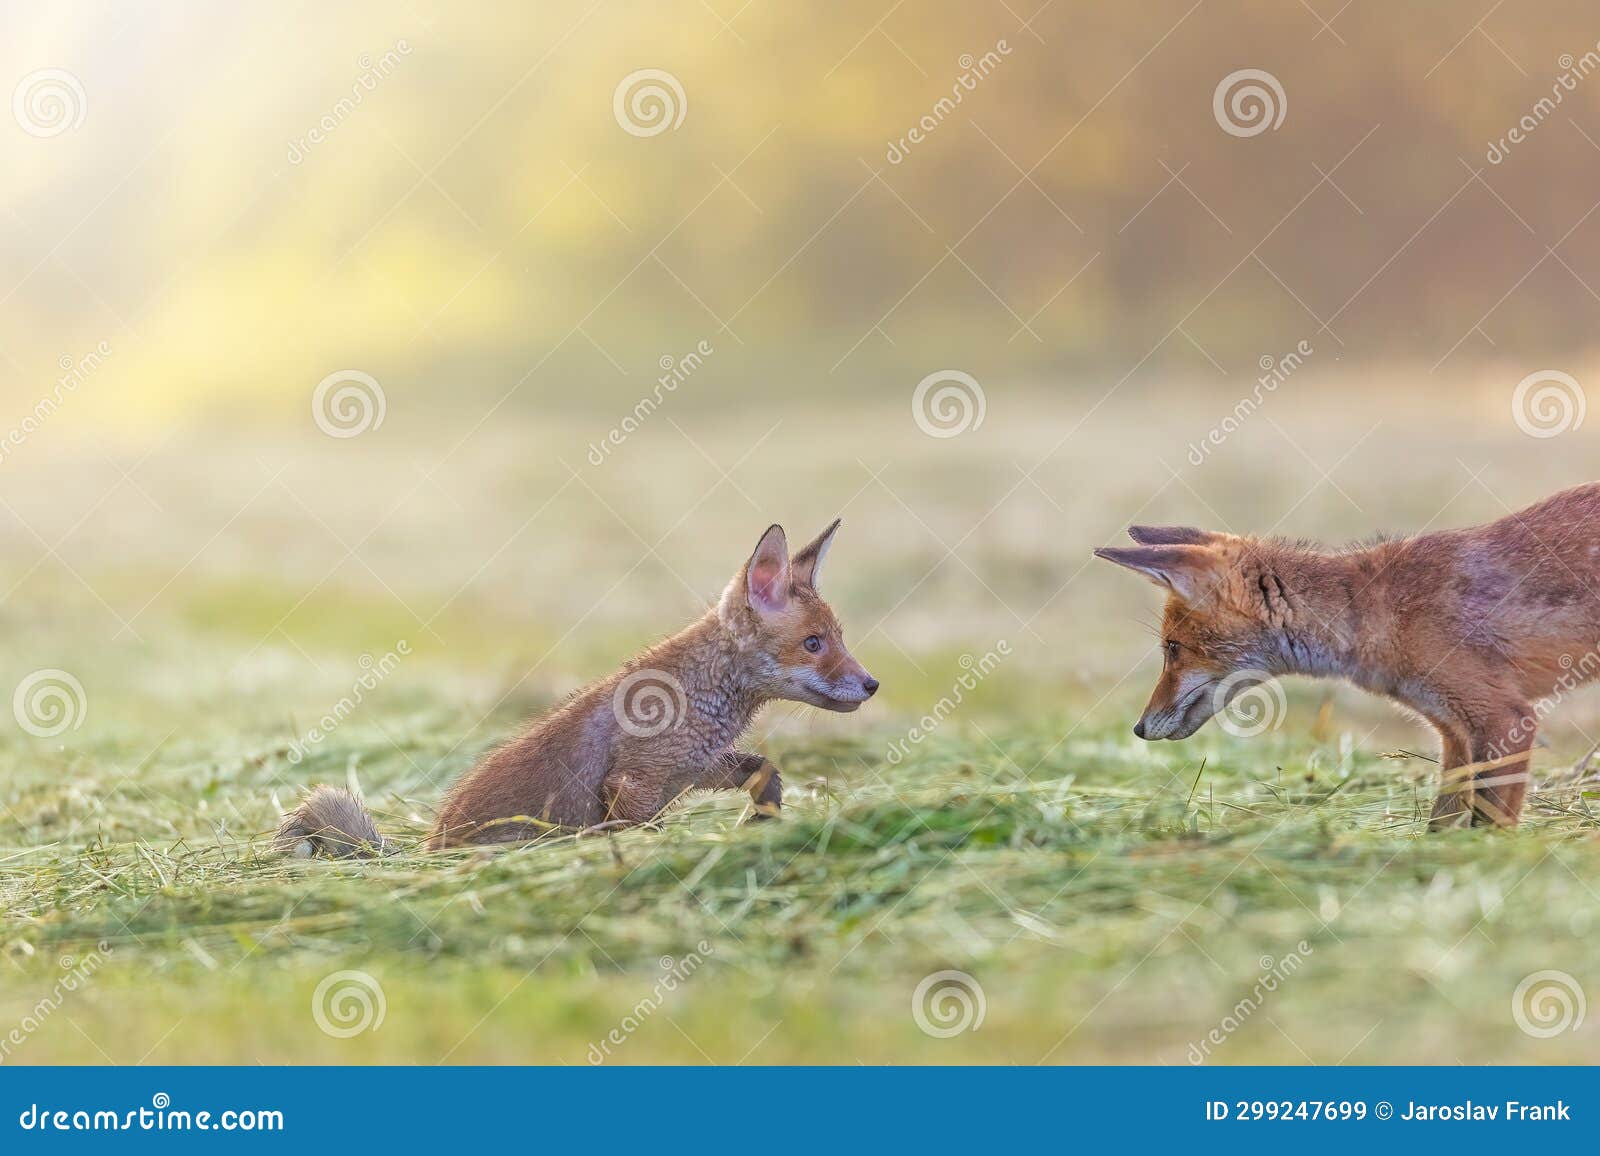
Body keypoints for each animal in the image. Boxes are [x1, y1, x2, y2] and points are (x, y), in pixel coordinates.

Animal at [276, 520, 878, 857]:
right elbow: (640, 834)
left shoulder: (695, 768)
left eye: (838, 638)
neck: (698, 694)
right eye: (814, 644)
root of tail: (424, 854)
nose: (872, 684)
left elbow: (766, 770)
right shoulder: (632, 785)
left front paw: (764, 821)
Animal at [1094, 483, 1600, 829]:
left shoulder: (1505, 719)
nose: (1139, 728)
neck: (1371, 610)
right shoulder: (1455, 733)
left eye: (1172, 648)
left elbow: (1490, 823)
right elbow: (1443, 821)